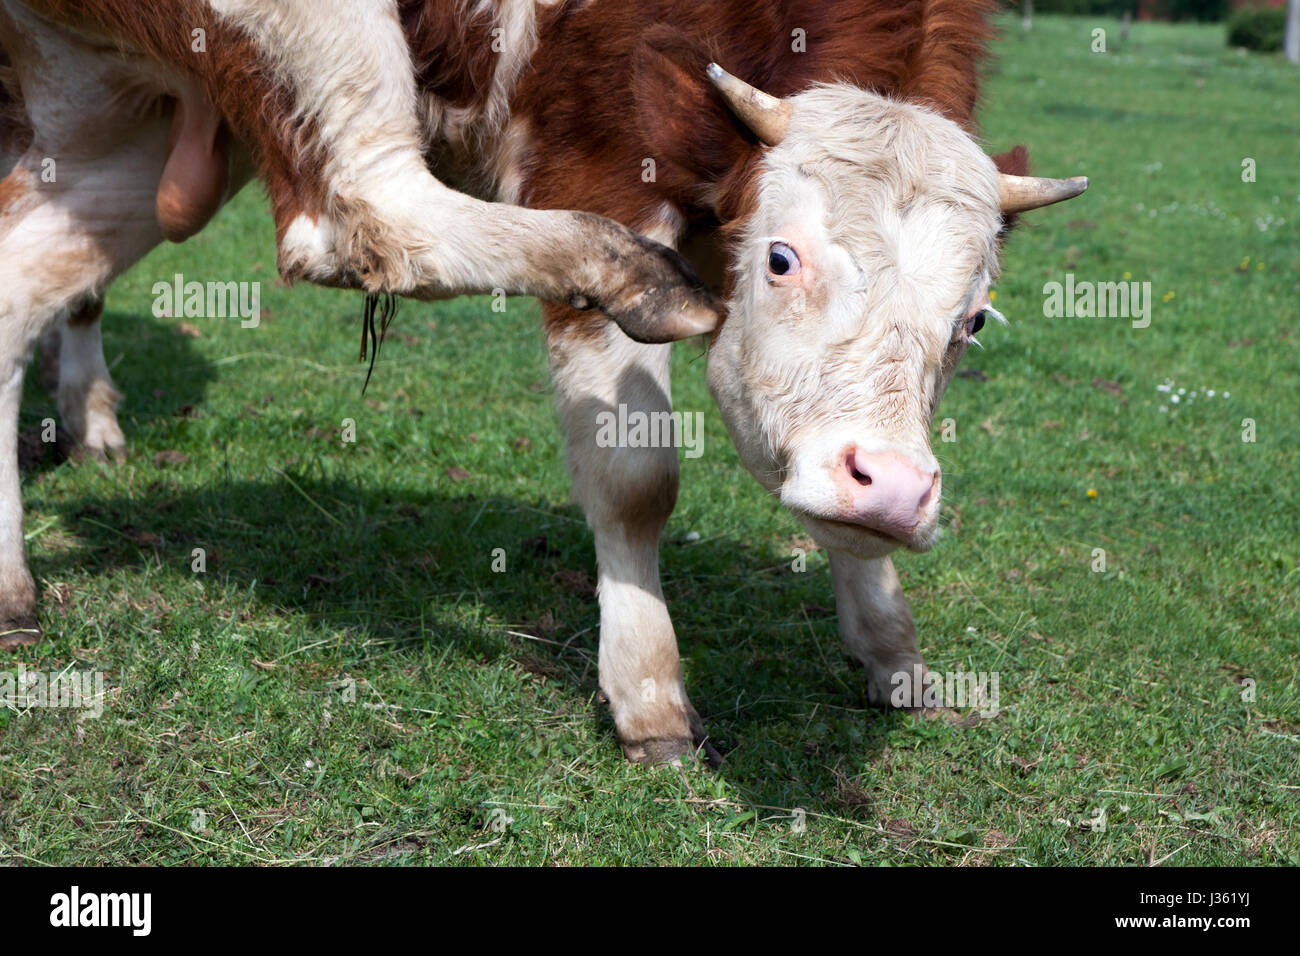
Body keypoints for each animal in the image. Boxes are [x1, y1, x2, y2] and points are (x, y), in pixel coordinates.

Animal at [0, 0, 1087, 765]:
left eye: (972, 319)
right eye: (781, 259)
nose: (896, 488)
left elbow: (836, 516)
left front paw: (892, 651)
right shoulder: (597, 161)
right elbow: (635, 484)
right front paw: (649, 695)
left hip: (117, 121)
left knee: (20, 289)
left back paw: (13, 580)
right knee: (364, 215)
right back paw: (638, 280)